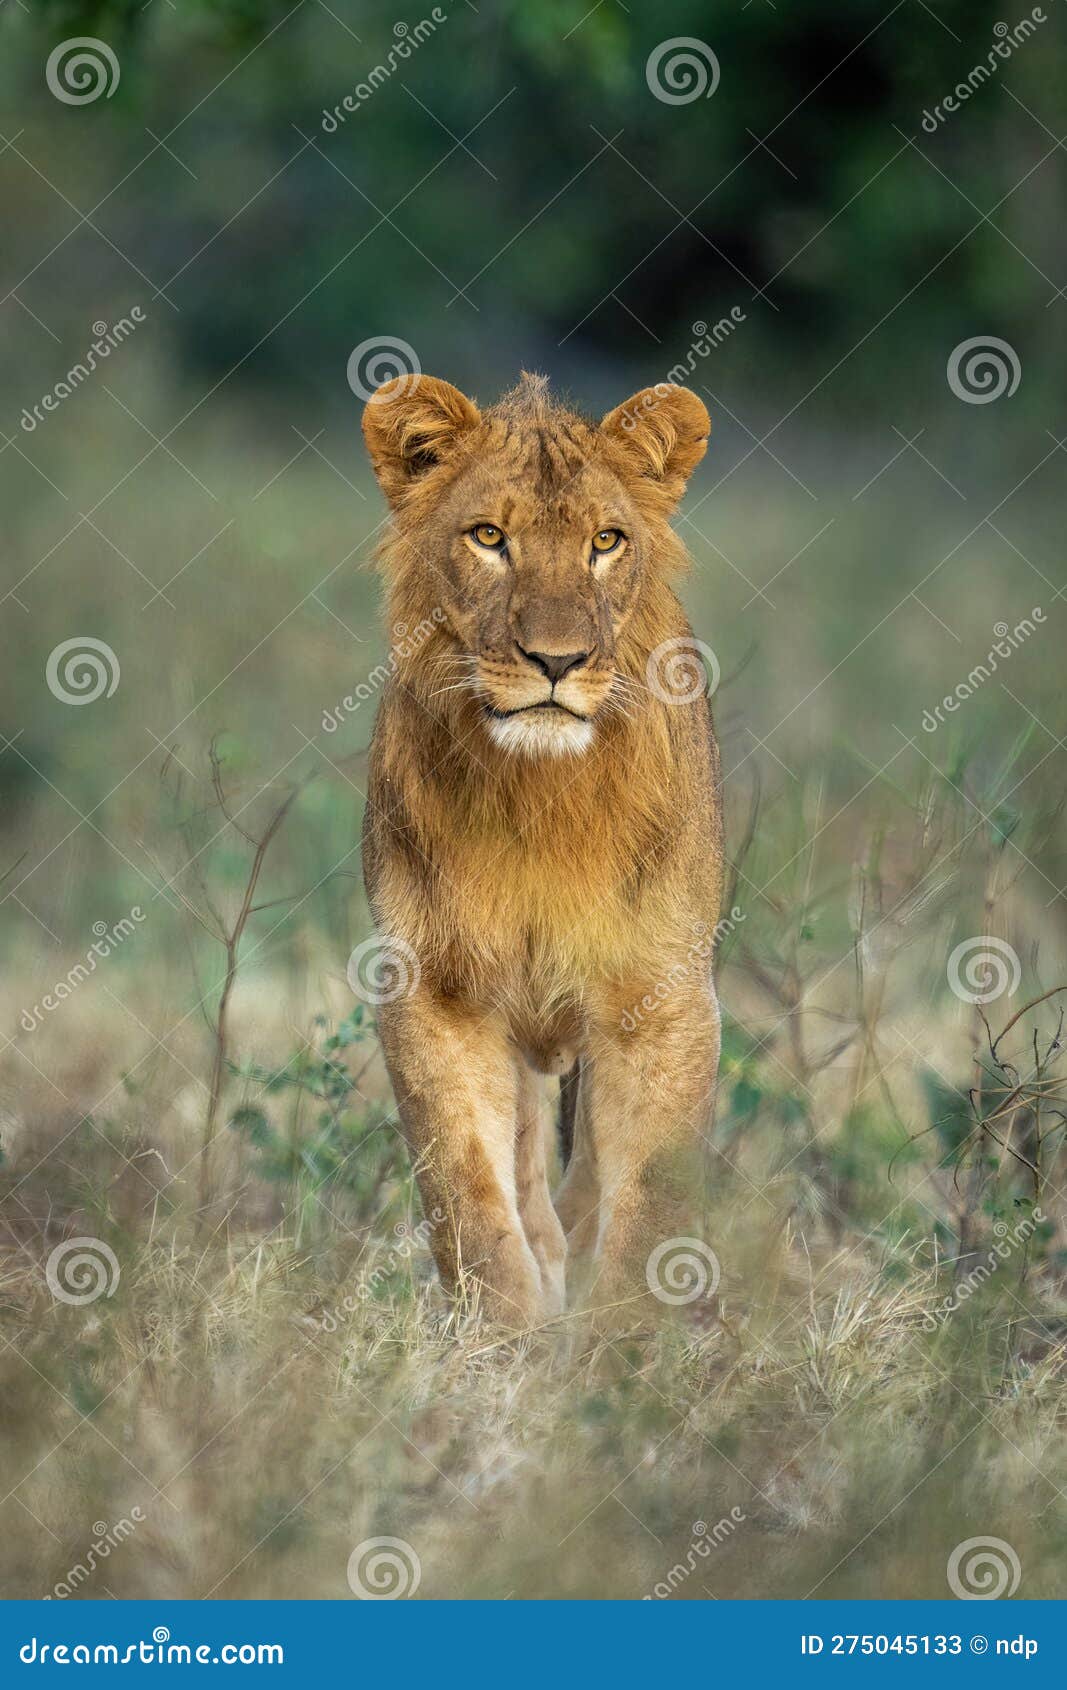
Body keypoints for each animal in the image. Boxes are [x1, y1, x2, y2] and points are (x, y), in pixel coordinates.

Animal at [360, 371, 723, 1327]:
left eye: (605, 541)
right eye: (490, 537)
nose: (556, 661)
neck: (540, 797)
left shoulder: (661, 999)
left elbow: (644, 1211)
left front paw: (620, 1350)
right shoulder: (434, 992)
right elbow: (469, 1200)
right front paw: (503, 1342)